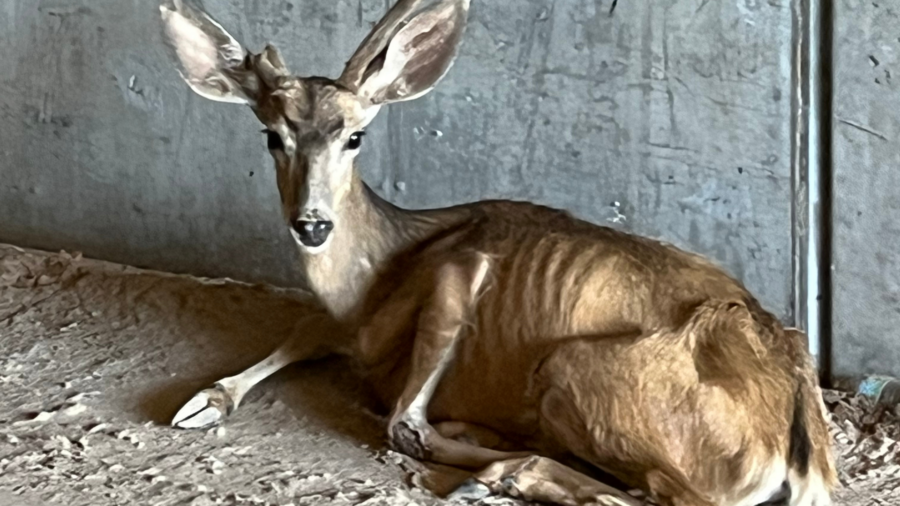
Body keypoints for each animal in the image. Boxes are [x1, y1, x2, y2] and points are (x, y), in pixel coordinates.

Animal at [159, 1, 836, 505]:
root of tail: (806, 450)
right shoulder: (343, 320)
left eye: (355, 136)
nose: (313, 224)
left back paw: (503, 471)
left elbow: (402, 418)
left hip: (575, 369)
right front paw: (204, 399)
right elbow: (303, 327)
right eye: (272, 136)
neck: (376, 275)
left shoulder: (462, 266)